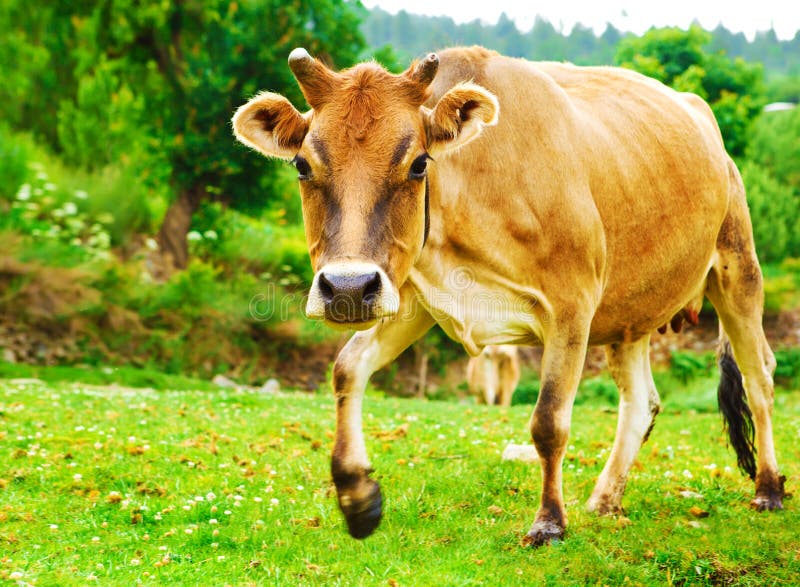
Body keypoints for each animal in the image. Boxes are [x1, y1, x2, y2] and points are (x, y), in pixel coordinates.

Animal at [232, 46, 784, 546]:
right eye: (303, 165)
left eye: (418, 164)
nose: (347, 288)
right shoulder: (409, 296)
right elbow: (348, 368)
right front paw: (357, 497)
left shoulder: (572, 305)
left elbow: (549, 421)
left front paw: (549, 522)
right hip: (631, 313)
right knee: (642, 401)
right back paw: (604, 499)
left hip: (738, 267)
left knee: (758, 377)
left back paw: (769, 489)